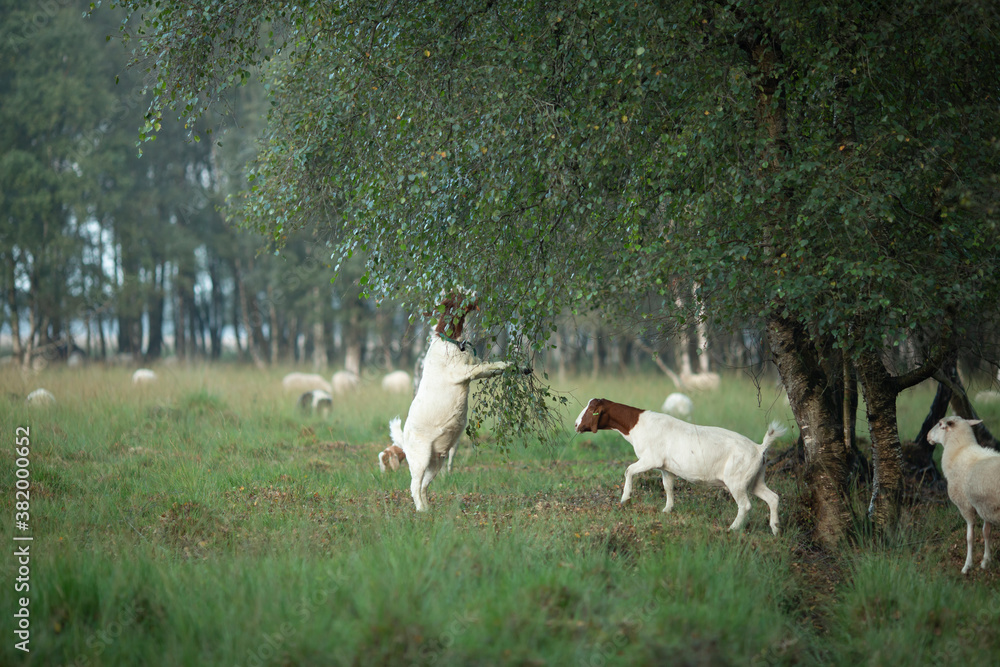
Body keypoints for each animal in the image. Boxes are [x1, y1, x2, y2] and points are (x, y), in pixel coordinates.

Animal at [575, 397, 784, 534]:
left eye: (591, 410)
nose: (576, 424)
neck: (637, 426)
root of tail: (759, 448)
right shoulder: (665, 467)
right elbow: (668, 486)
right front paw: (667, 510)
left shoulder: (651, 459)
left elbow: (629, 470)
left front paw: (625, 497)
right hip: (755, 479)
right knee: (773, 498)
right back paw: (775, 529)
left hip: (737, 480)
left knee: (745, 505)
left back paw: (732, 528)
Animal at [928, 416, 1000, 574]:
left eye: (940, 424)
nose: (927, 436)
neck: (958, 451)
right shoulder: (985, 507)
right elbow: (986, 532)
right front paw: (986, 561)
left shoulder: (965, 506)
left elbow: (970, 537)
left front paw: (967, 565)